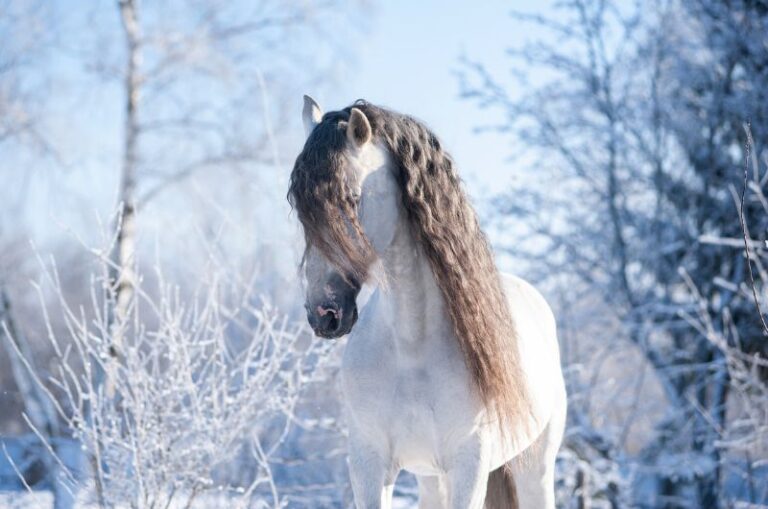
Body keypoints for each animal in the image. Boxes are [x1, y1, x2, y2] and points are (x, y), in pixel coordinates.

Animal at [288, 96, 567, 509]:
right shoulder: (369, 467)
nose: (324, 313)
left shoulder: (469, 468)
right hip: (430, 477)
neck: (412, 347)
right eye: (302, 208)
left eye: (352, 199)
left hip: (534, 468)